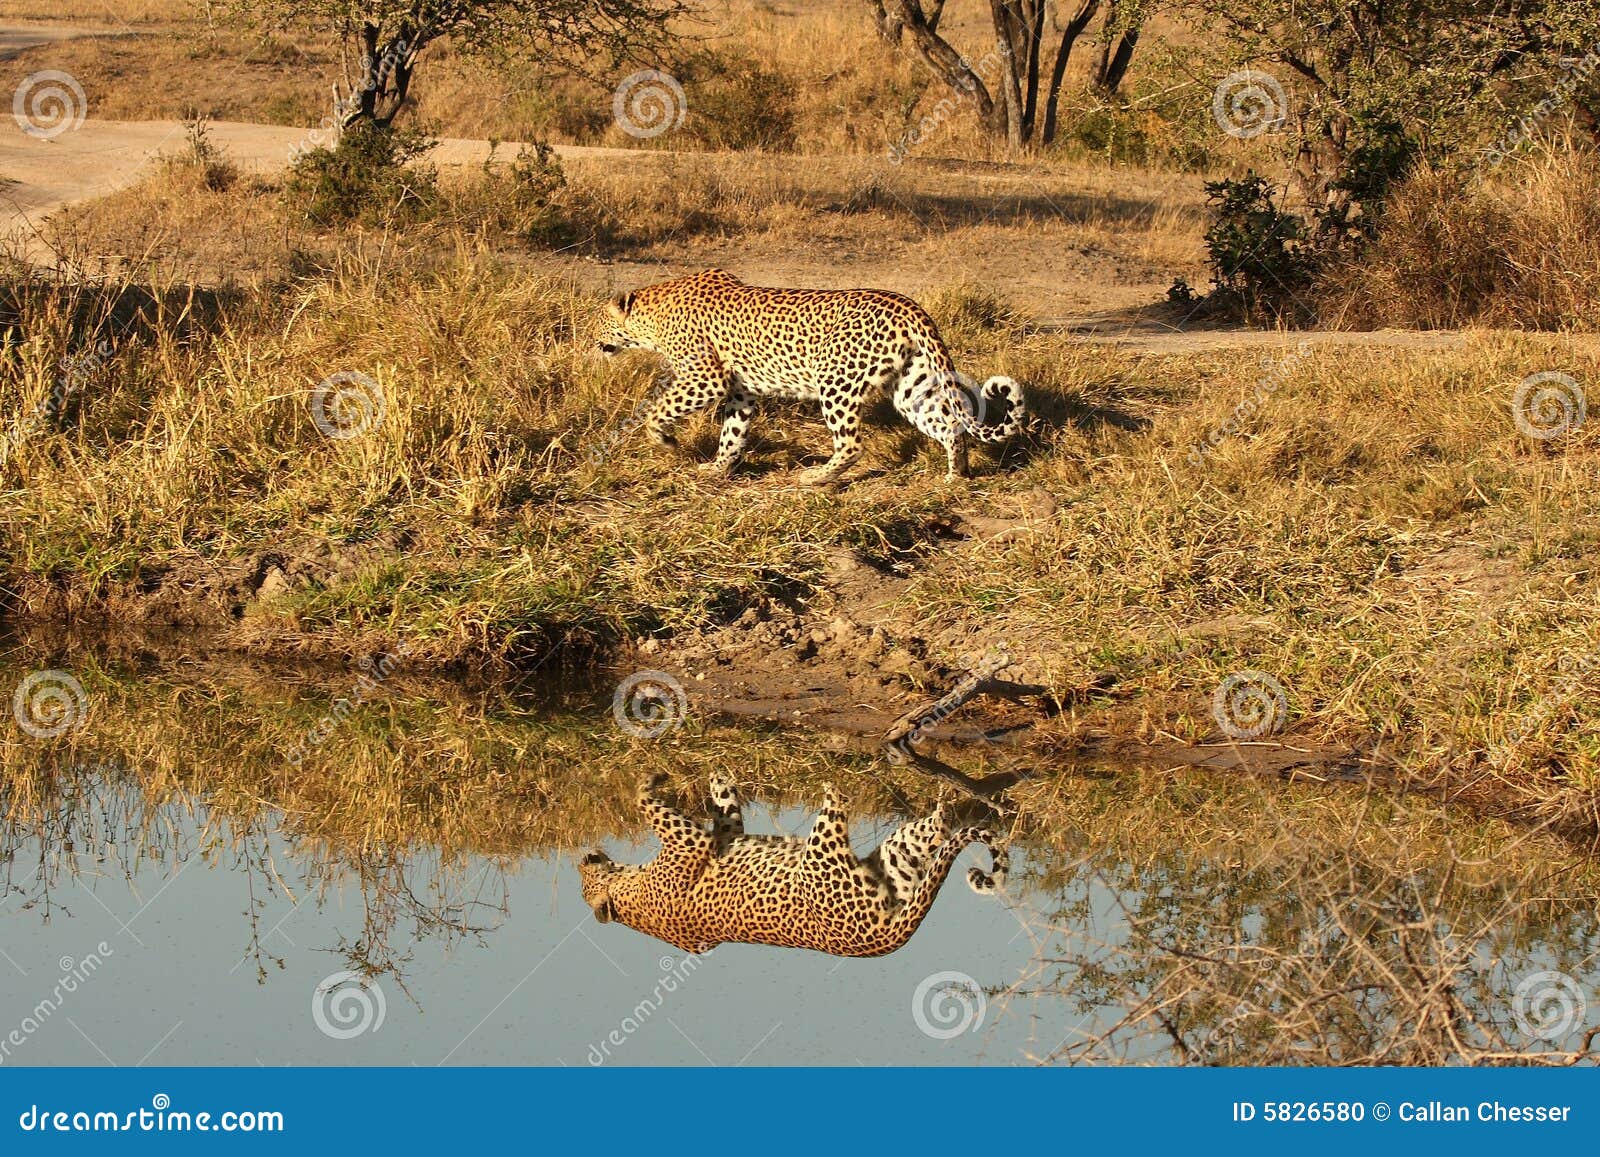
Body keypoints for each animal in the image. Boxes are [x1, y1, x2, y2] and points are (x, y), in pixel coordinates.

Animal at [578, 772, 1009, 958]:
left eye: (583, 878)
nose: (583, 857)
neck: (630, 904)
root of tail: (883, 940)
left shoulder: (716, 836)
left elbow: (725, 811)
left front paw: (717, 779)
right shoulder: (691, 843)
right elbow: (645, 804)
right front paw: (649, 781)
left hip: (894, 859)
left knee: (937, 828)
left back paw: (944, 799)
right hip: (825, 851)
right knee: (839, 806)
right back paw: (834, 781)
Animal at [595, 269, 1026, 484]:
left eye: (598, 320)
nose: (590, 340)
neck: (650, 316)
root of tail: (907, 304)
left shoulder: (706, 377)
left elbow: (658, 411)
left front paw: (665, 440)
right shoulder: (740, 391)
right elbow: (732, 433)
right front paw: (718, 468)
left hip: (834, 381)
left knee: (852, 445)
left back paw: (817, 477)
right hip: (910, 386)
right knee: (949, 426)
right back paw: (957, 476)